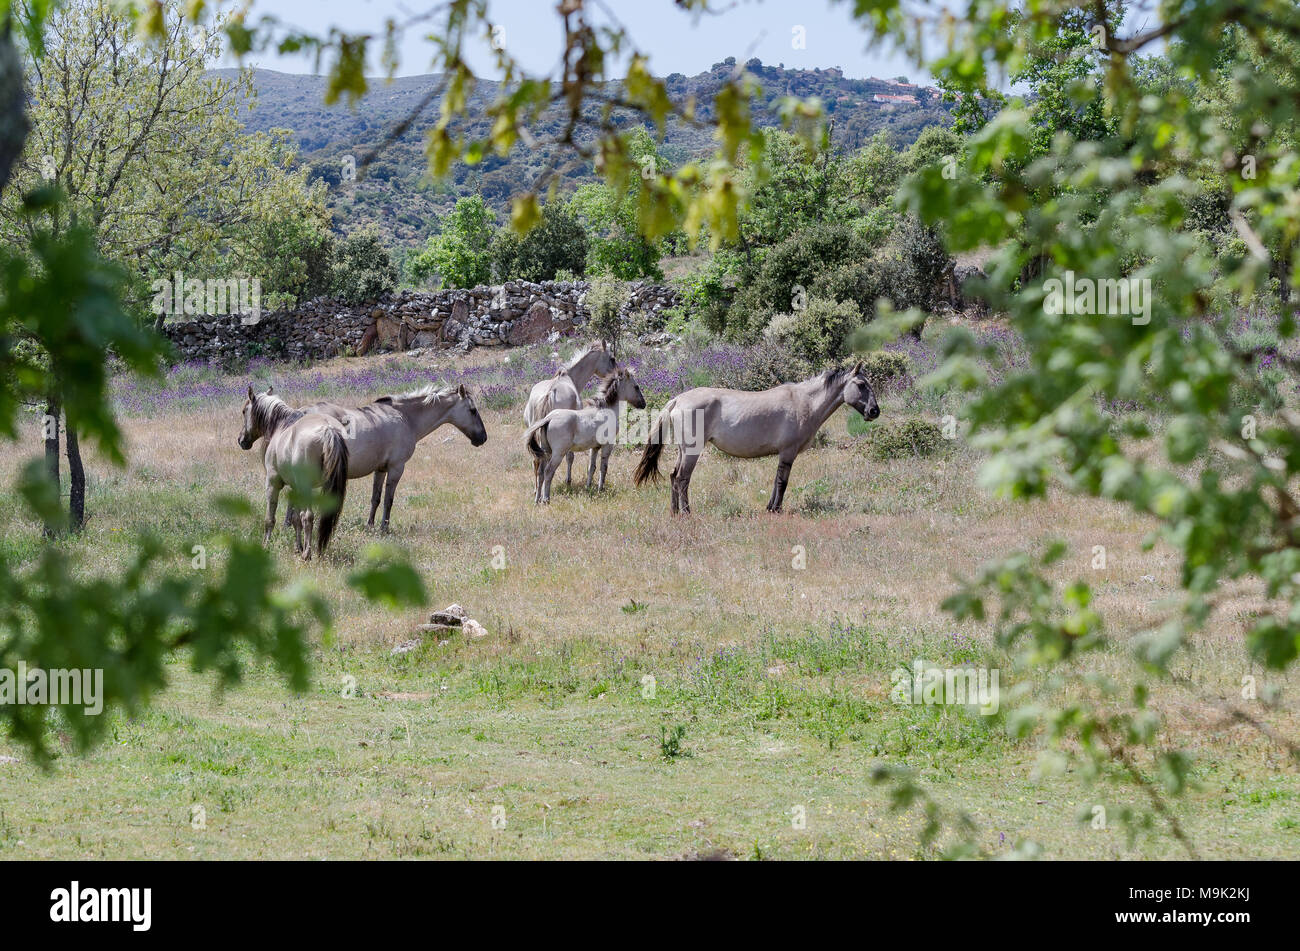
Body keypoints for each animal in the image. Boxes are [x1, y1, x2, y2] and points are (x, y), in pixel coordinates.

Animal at [237, 387, 349, 559]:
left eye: (244, 411)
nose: (241, 440)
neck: (281, 426)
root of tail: (327, 430)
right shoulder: (295, 488)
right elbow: (296, 519)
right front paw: (298, 547)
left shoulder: (273, 484)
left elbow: (270, 518)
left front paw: (265, 545)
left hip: (305, 487)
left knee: (308, 516)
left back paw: (307, 554)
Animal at [523, 340, 616, 487]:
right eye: (612, 359)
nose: (617, 374)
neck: (569, 377)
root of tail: (550, 393)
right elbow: (570, 457)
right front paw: (568, 480)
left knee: (536, 461)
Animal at [525, 367, 646, 503]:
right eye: (636, 387)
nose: (643, 404)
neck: (606, 410)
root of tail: (549, 418)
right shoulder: (607, 445)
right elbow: (603, 467)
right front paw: (600, 489)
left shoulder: (595, 447)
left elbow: (591, 467)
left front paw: (588, 487)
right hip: (558, 453)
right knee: (548, 471)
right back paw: (546, 499)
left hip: (546, 451)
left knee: (540, 472)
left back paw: (537, 500)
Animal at [633, 363, 880, 514]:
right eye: (860, 385)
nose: (874, 411)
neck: (805, 402)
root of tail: (678, 399)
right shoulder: (788, 452)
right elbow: (782, 482)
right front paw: (777, 509)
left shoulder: (783, 454)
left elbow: (776, 480)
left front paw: (770, 507)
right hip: (692, 450)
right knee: (682, 478)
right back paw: (686, 512)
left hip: (683, 450)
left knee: (674, 476)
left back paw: (674, 512)